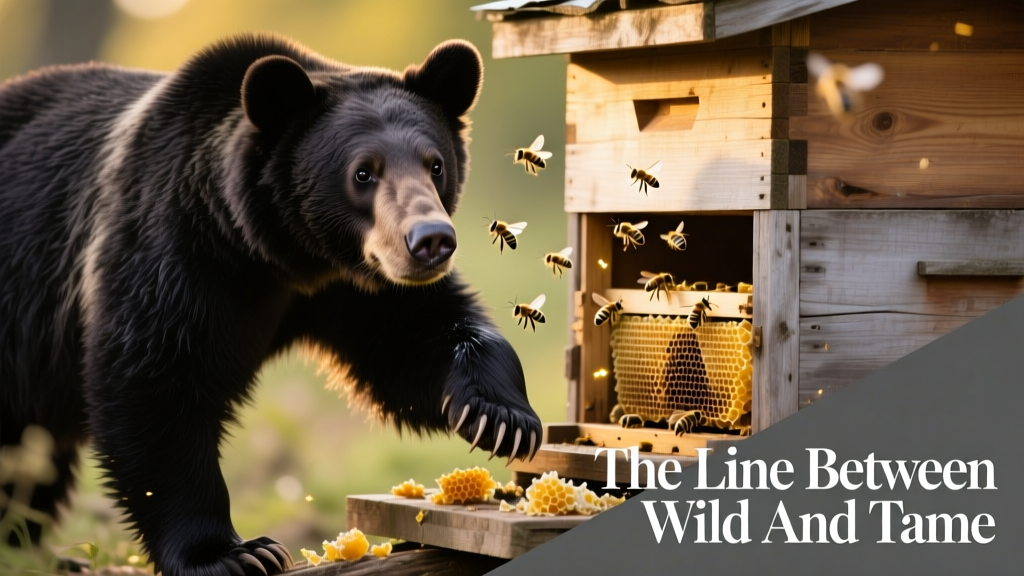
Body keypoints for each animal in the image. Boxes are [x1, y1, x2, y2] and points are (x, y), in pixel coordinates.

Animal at [0, 34, 542, 576]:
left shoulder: (353, 287)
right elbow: (156, 379)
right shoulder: (173, 246)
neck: (284, 252)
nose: (431, 240)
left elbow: (412, 339)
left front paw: (501, 419)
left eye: (435, 164)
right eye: (363, 172)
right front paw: (236, 553)